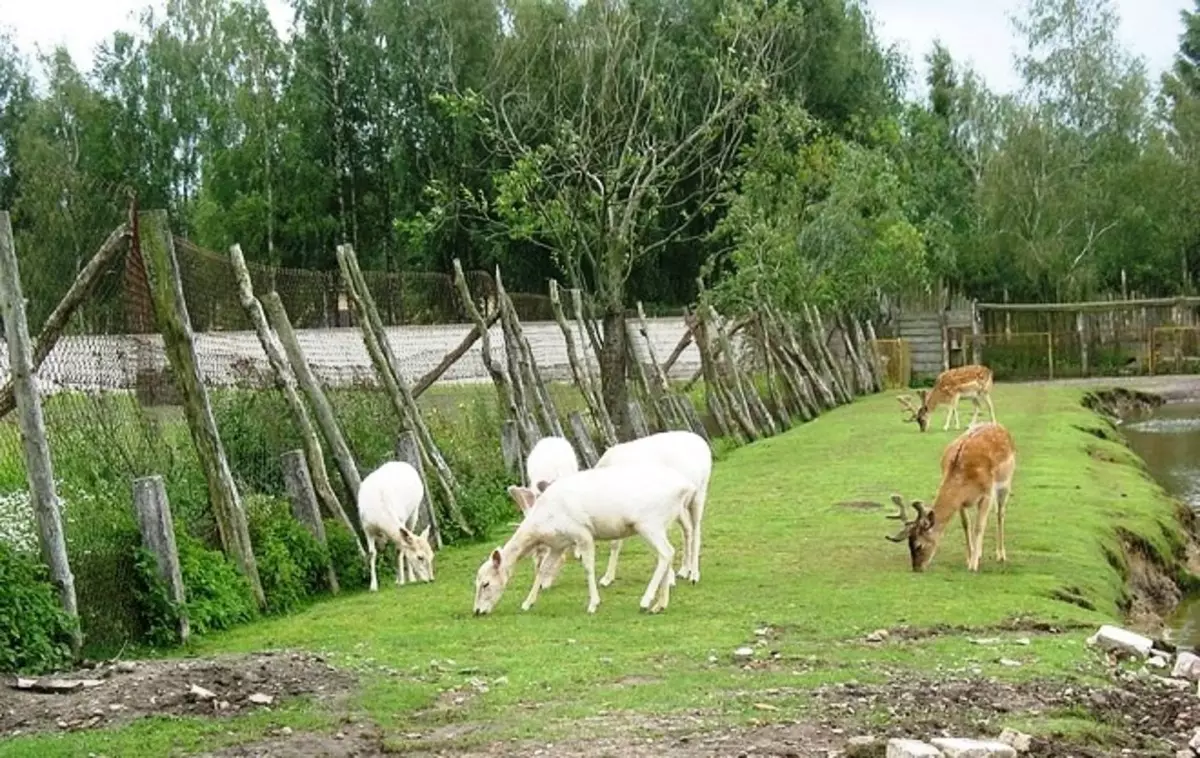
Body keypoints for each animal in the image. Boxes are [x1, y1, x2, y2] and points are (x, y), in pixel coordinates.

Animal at [357, 458, 439, 590]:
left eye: (432, 555)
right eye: (420, 557)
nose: (431, 579)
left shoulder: (401, 520)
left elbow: (400, 550)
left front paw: (401, 581)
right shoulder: (366, 527)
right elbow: (372, 553)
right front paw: (373, 586)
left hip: (414, 512)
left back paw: (410, 578)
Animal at [468, 462, 696, 614]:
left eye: (485, 584)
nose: (477, 611)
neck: (543, 522)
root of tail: (685, 486)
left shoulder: (582, 532)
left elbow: (588, 567)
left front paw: (593, 604)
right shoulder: (559, 544)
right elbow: (543, 570)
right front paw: (527, 602)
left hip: (649, 524)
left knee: (666, 553)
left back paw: (646, 601)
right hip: (661, 524)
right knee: (667, 553)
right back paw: (659, 604)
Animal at [883, 419, 1012, 573]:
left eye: (919, 545)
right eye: (909, 544)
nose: (917, 568)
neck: (966, 480)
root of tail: (998, 426)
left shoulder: (987, 493)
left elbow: (979, 527)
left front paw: (973, 565)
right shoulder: (961, 502)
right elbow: (966, 524)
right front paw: (970, 557)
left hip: (1006, 483)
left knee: (1000, 514)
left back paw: (1001, 555)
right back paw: (979, 552)